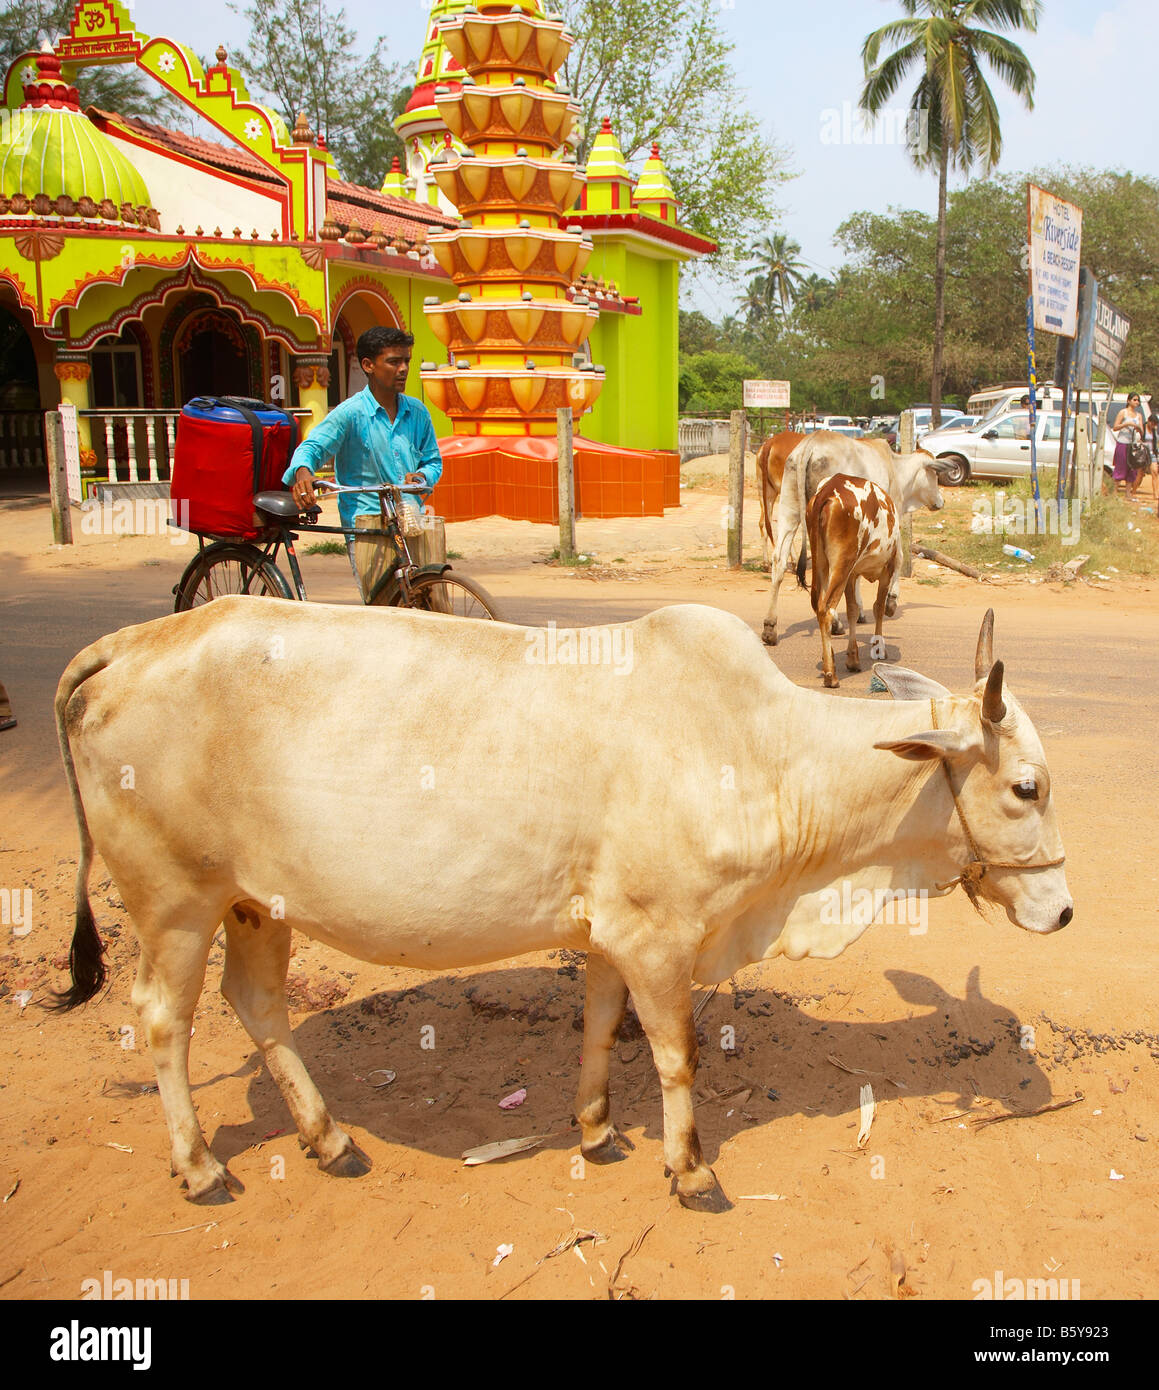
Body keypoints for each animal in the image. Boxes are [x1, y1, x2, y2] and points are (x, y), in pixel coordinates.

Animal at [53, 600, 1071, 1213]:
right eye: (1025, 787)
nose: (1061, 913)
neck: (763, 751)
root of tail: (130, 643)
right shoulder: (658, 936)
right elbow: (675, 1055)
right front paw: (688, 1167)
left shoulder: (608, 935)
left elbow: (596, 1028)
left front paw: (595, 1129)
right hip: (174, 900)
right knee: (162, 1020)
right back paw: (198, 1165)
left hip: (253, 903)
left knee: (259, 1006)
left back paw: (329, 1138)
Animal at [763, 433, 946, 646]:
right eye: (935, 476)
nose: (940, 501)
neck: (896, 468)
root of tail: (810, 444)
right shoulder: (893, 518)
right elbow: (898, 558)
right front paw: (891, 601)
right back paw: (835, 624)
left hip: (789, 508)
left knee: (780, 560)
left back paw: (770, 627)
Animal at [800, 475, 901, 688]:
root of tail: (826, 492)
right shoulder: (887, 569)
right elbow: (878, 607)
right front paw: (879, 648)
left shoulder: (852, 575)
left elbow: (853, 610)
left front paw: (852, 658)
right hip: (842, 564)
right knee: (826, 609)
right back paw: (831, 675)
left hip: (824, 565)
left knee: (818, 605)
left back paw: (828, 660)